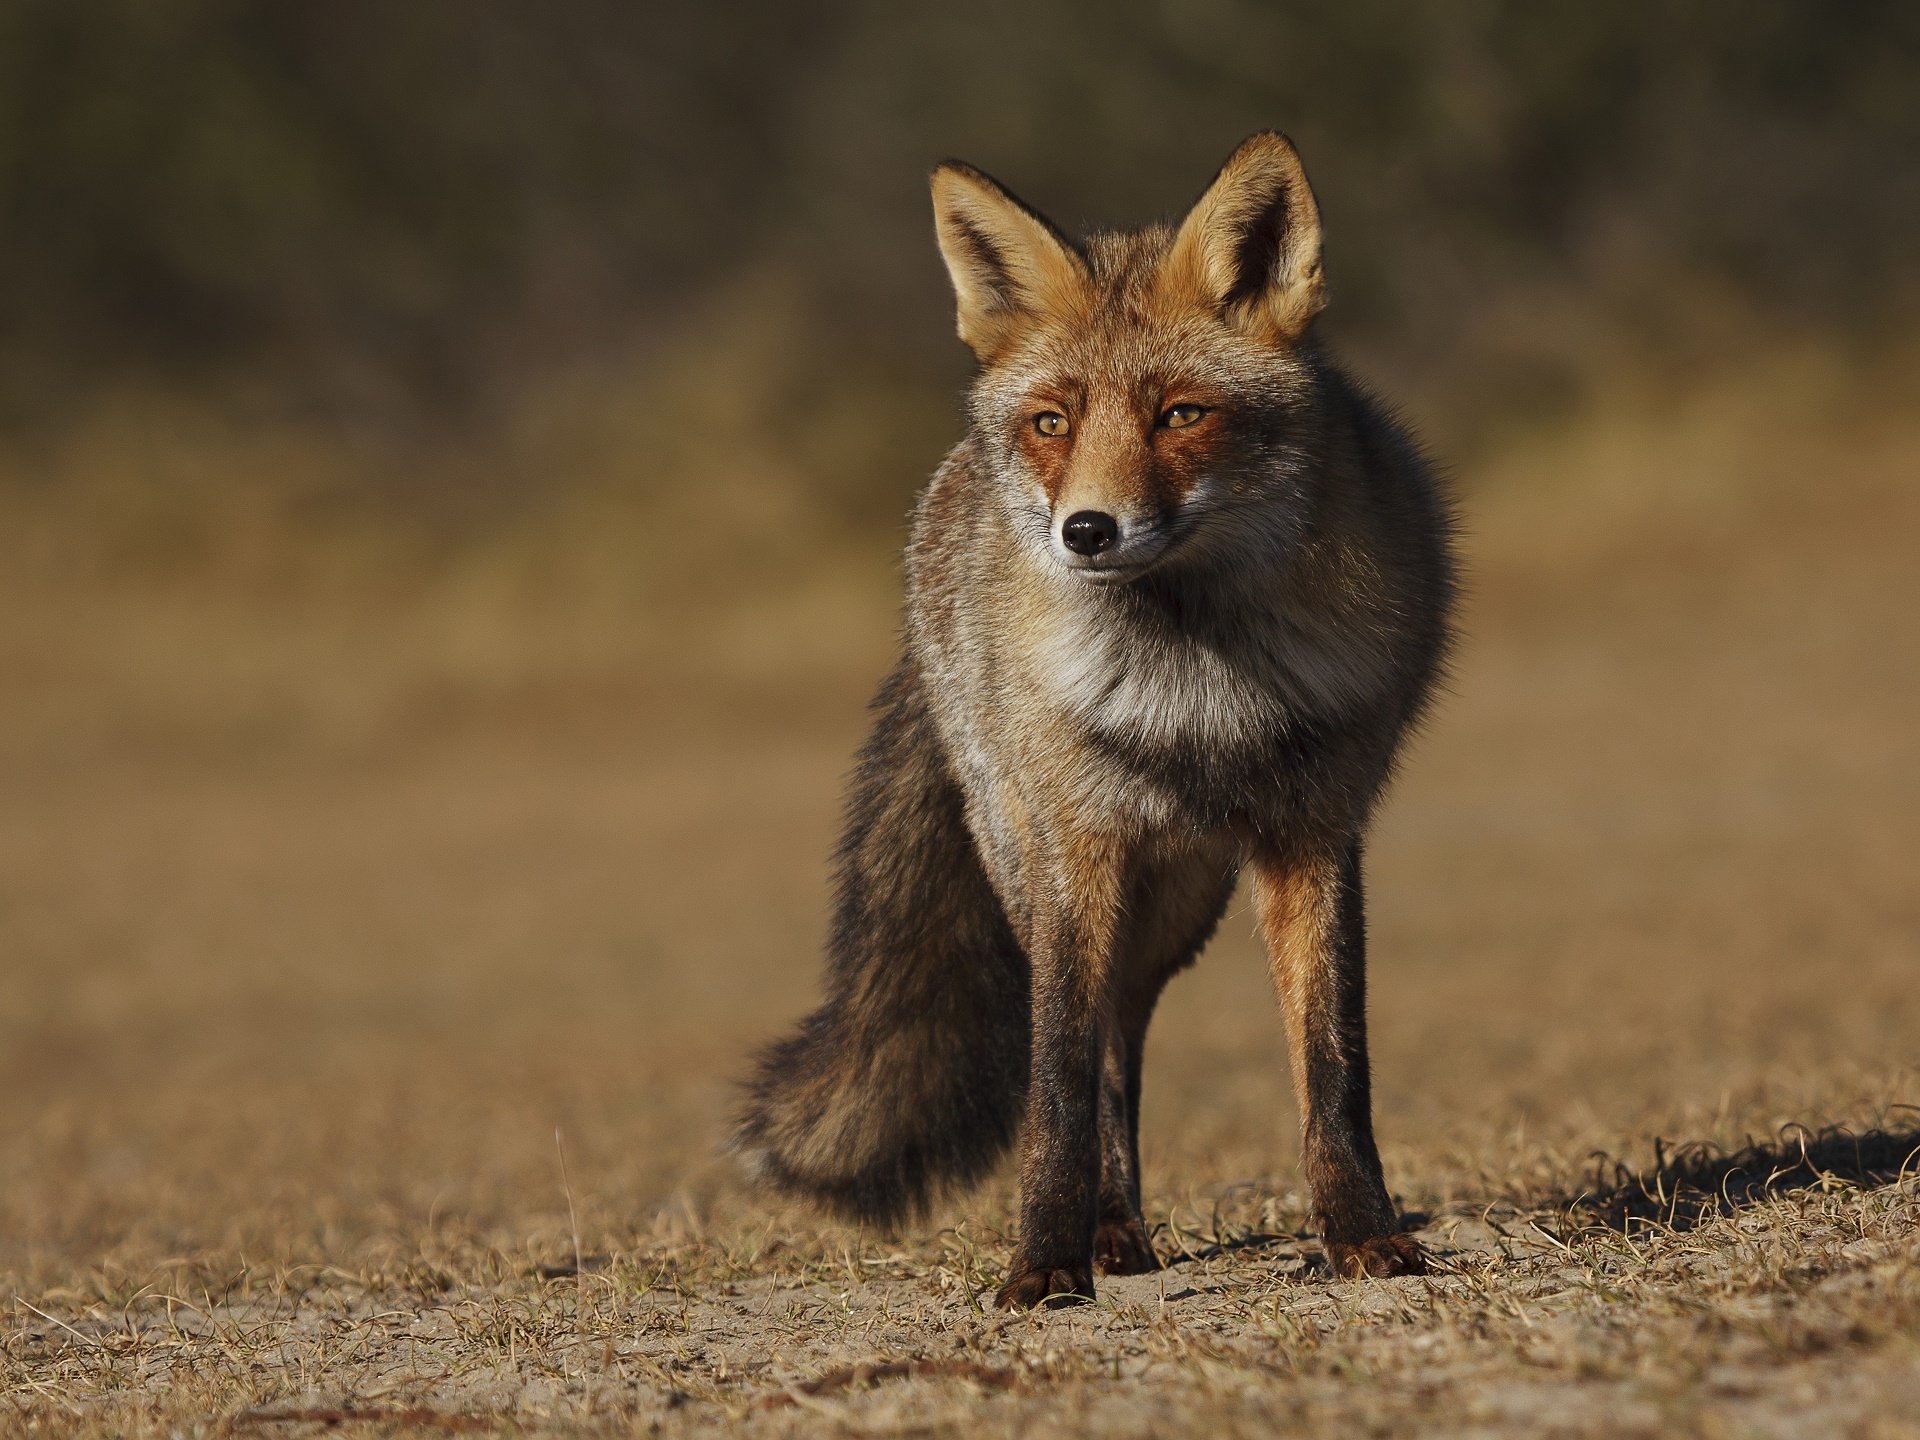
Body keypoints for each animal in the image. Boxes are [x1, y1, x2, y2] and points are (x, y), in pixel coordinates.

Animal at [734, 132, 1455, 1307]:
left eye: (1181, 415)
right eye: (1053, 424)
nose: (1086, 530)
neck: (1195, 681)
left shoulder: (1314, 834)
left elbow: (1333, 1067)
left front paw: (1362, 1237)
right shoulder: (1078, 851)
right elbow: (1059, 1086)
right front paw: (1043, 1263)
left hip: (1184, 898)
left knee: (1131, 1029)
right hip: (1044, 866)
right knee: (1102, 1043)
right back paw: (1111, 1230)